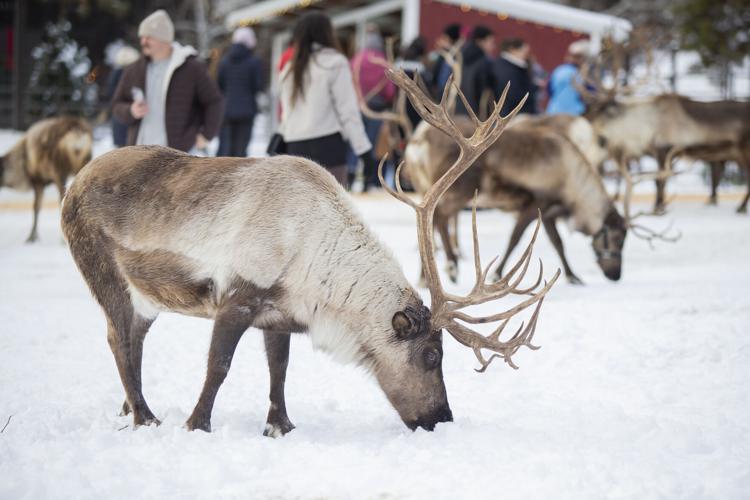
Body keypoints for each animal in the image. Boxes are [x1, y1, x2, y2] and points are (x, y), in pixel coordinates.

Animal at [61, 68, 559, 436]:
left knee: (135, 340)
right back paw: (146, 417)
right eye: (432, 356)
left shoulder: (279, 313)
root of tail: (73, 183)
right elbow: (219, 366)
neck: (312, 262)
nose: (441, 419)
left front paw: (280, 425)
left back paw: (130, 409)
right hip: (104, 271)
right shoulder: (237, 296)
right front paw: (197, 424)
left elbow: (279, 369)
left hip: (148, 297)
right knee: (118, 339)